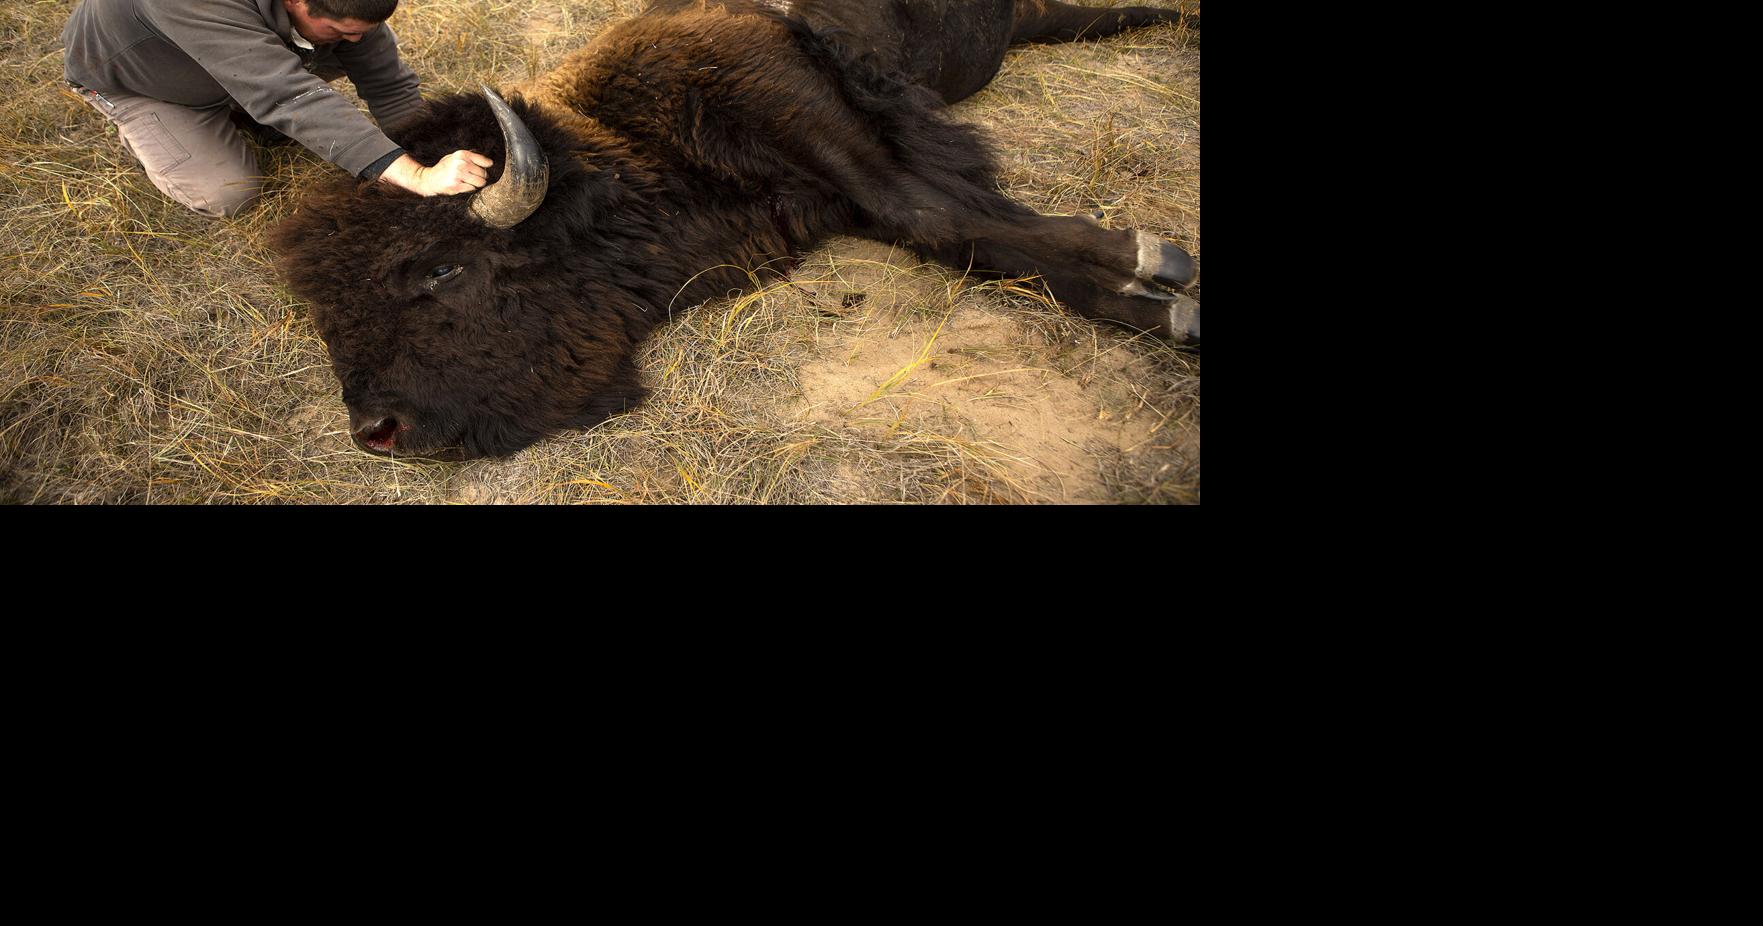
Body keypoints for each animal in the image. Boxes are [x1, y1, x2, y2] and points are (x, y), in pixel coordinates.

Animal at [272, 0, 1200, 460]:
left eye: (440, 270)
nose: (376, 433)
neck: (630, 148)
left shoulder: (828, 128)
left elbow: (940, 213)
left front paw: (1158, 271)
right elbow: (957, 227)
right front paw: (1155, 283)